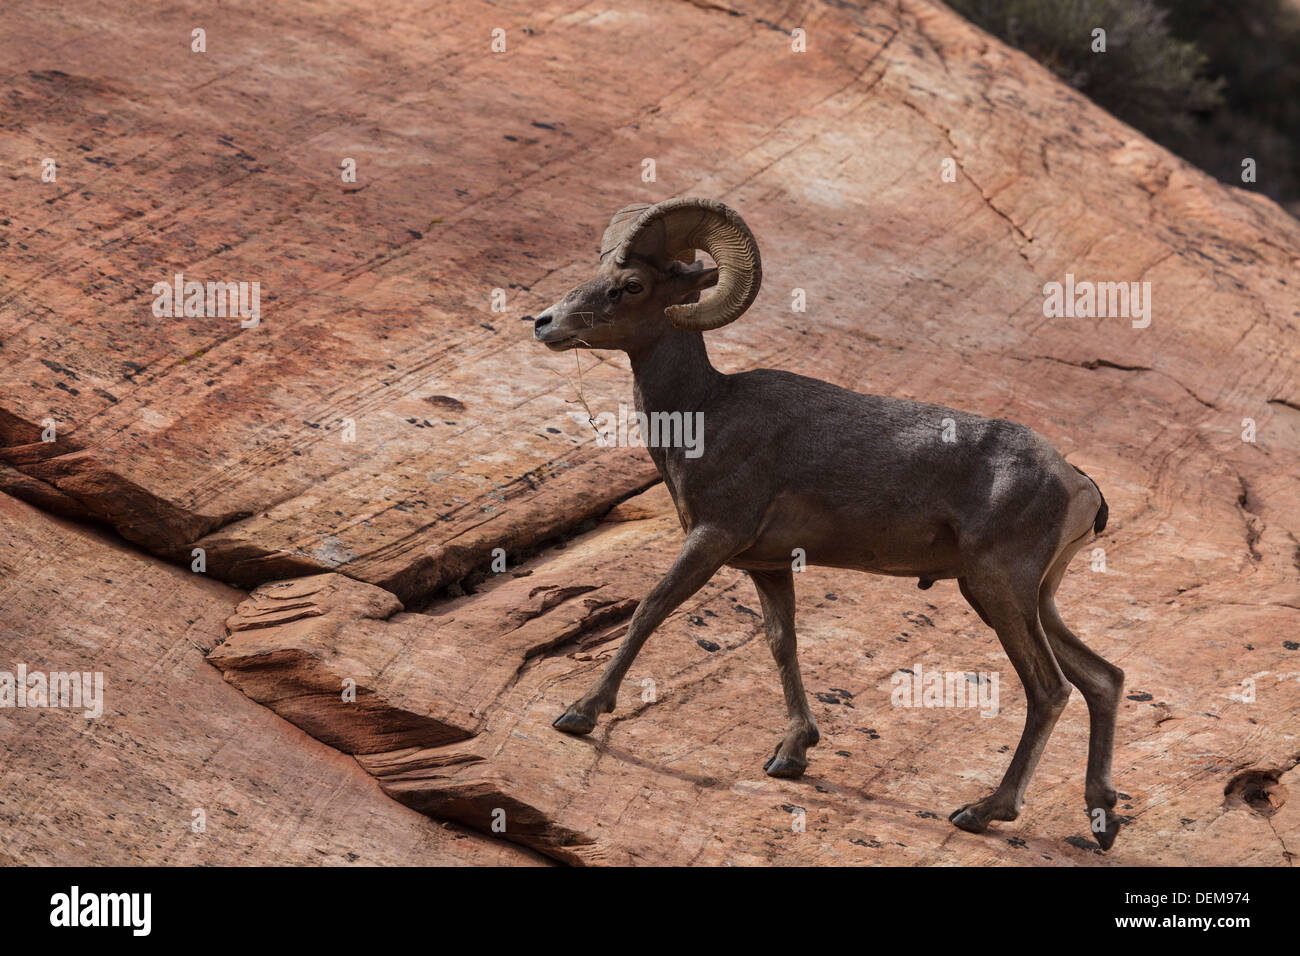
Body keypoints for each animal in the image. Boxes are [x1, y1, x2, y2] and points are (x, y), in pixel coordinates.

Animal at [524, 197, 1123, 848]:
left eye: (630, 285)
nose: (544, 323)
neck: (706, 413)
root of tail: (1078, 485)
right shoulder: (766, 566)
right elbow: (782, 644)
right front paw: (791, 754)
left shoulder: (712, 539)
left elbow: (649, 610)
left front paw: (579, 713)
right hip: (1028, 597)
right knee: (1103, 679)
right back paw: (1104, 820)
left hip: (998, 589)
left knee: (1050, 690)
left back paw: (983, 811)